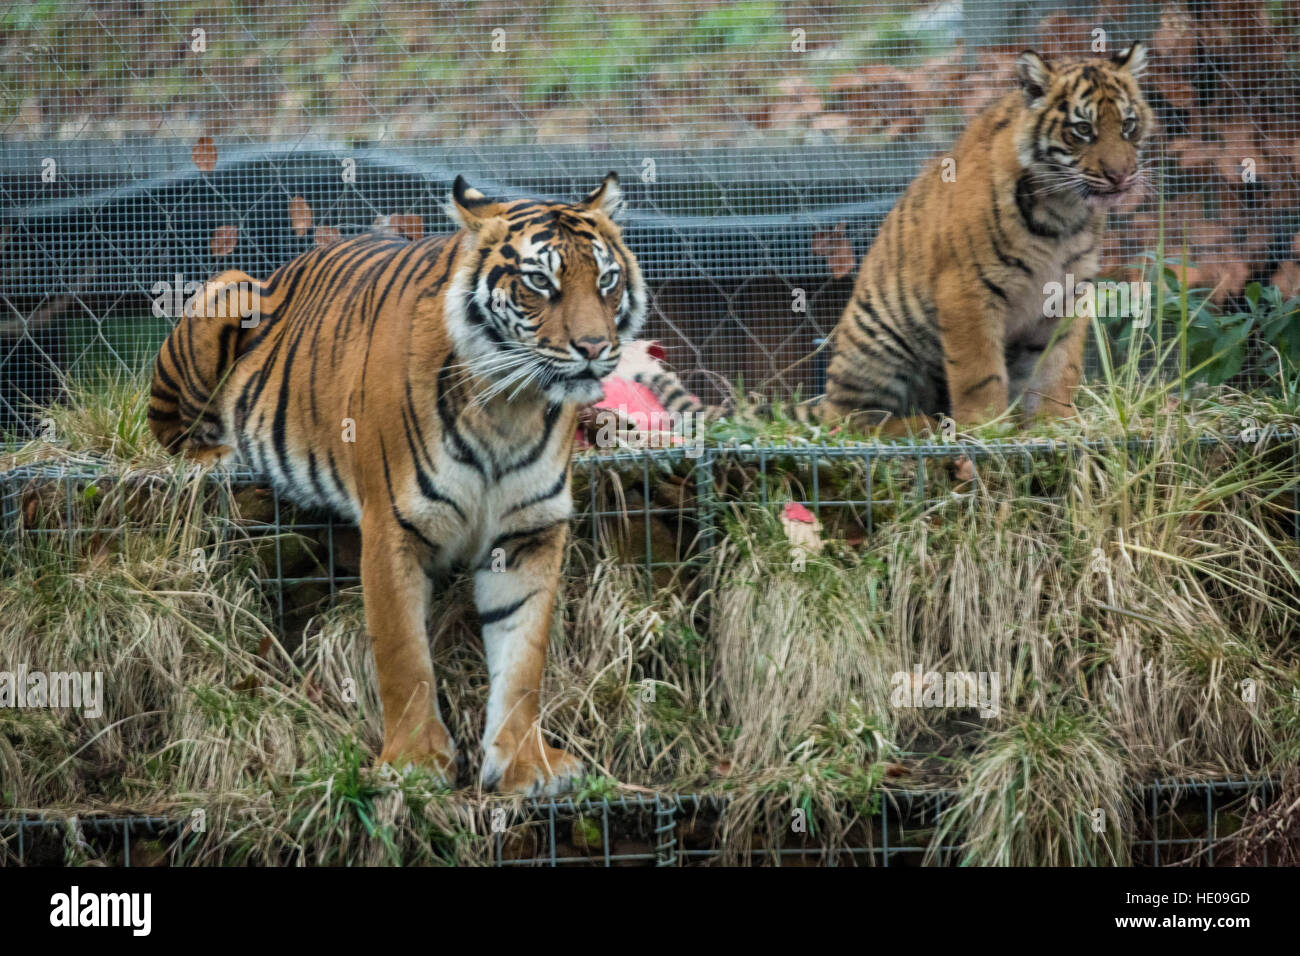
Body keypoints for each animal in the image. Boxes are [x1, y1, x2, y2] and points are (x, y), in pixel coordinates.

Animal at [149, 173, 646, 795]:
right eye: (539, 282)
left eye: (606, 280)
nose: (594, 348)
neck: (511, 408)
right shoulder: (394, 527)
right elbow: (402, 655)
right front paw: (414, 763)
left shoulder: (528, 536)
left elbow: (524, 656)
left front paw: (525, 763)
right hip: (226, 290)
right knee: (168, 432)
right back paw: (217, 455)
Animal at [822, 43, 1152, 431]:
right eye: (1083, 129)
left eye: (1128, 125)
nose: (1121, 176)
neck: (1063, 212)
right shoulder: (967, 288)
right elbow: (979, 371)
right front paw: (986, 426)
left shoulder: (1068, 291)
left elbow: (1059, 362)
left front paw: (1055, 419)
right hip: (880, 340)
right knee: (851, 420)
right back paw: (924, 425)